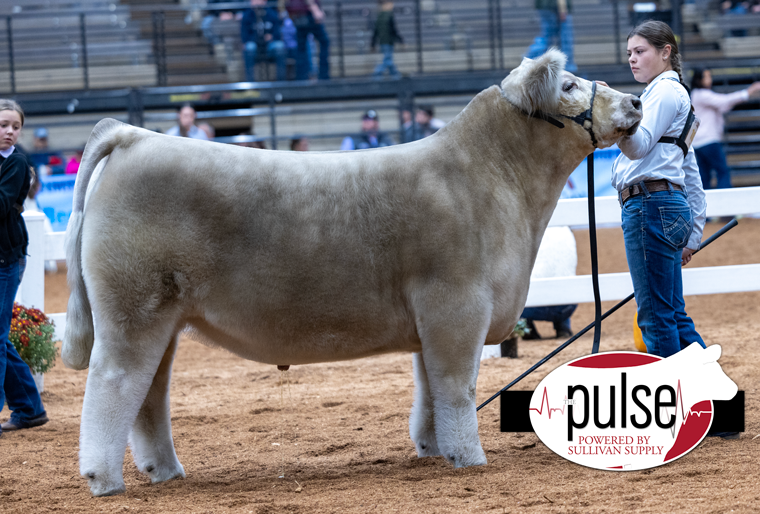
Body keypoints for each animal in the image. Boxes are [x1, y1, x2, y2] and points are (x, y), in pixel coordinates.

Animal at [62, 49, 642, 496]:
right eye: (569, 85)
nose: (636, 101)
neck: (496, 182)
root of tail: (136, 135)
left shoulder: (432, 321)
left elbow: (428, 390)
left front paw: (433, 449)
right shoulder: (457, 307)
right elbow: (456, 388)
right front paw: (470, 457)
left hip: (164, 319)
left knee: (148, 395)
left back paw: (165, 471)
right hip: (133, 311)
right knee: (114, 385)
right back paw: (103, 479)